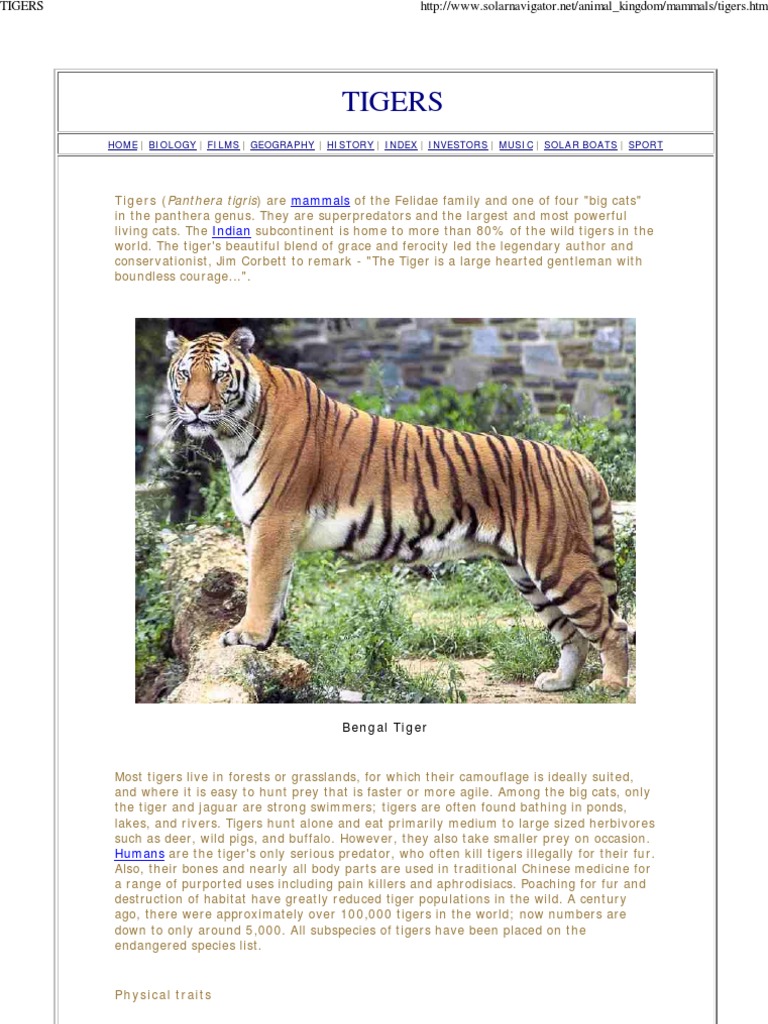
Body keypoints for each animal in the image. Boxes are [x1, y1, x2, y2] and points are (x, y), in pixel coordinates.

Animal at [166, 326, 630, 694]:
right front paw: (266, 642)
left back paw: (610, 685)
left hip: (556, 559)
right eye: (185, 374)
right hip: (525, 572)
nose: (196, 408)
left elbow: (261, 586)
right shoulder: (264, 528)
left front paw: (247, 635)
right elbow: (276, 587)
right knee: (572, 633)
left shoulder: (275, 522)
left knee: (612, 625)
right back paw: (560, 682)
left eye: (219, 374)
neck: (234, 435)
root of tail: (574, 457)